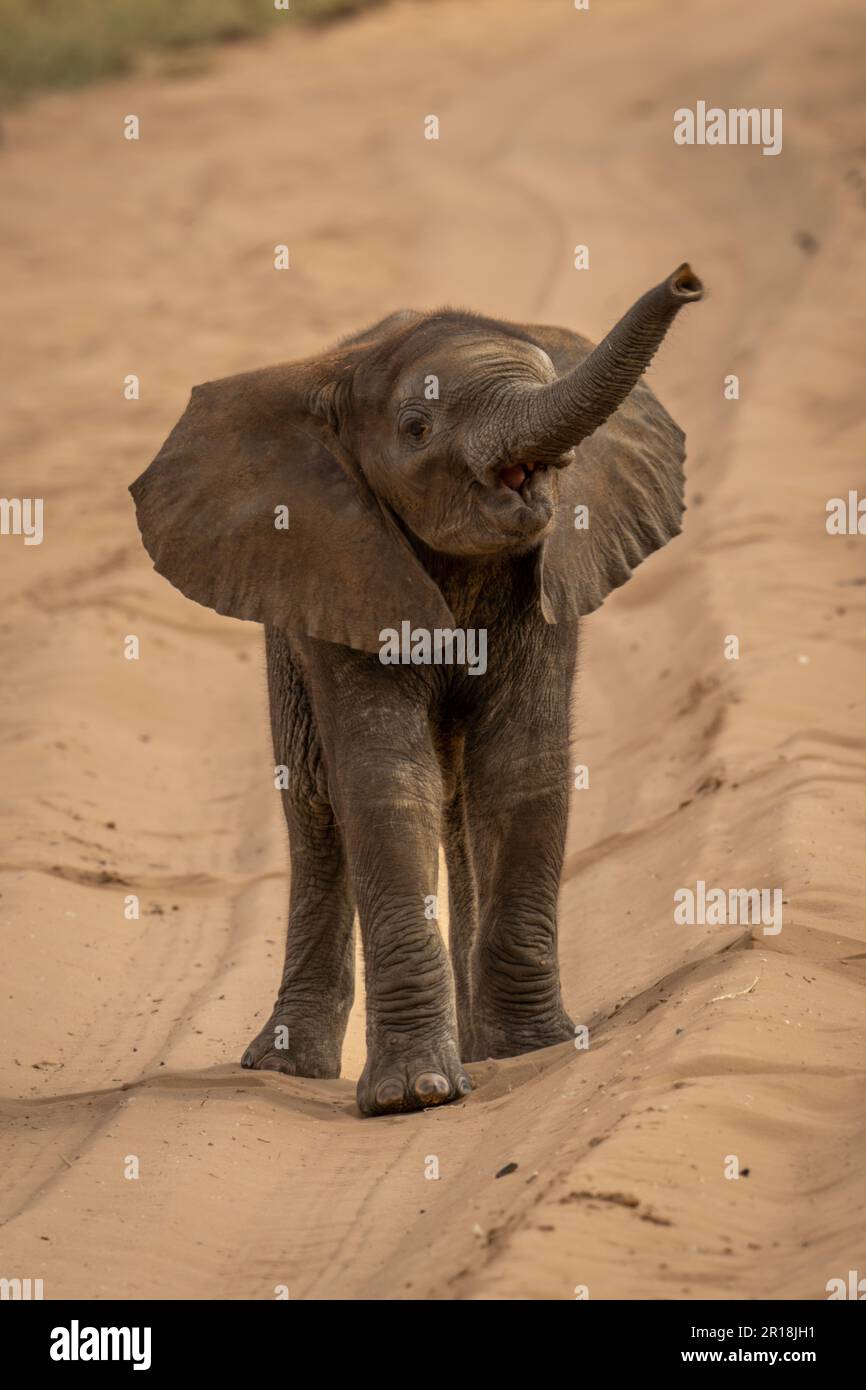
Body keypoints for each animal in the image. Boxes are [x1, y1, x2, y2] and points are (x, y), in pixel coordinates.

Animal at [130, 263, 703, 1117]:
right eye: (415, 427)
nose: (687, 279)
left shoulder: (545, 573)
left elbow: (521, 769)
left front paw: (532, 1052)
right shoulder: (338, 564)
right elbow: (384, 782)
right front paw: (417, 1096)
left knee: (460, 799)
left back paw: (478, 1050)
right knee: (314, 800)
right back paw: (284, 1067)